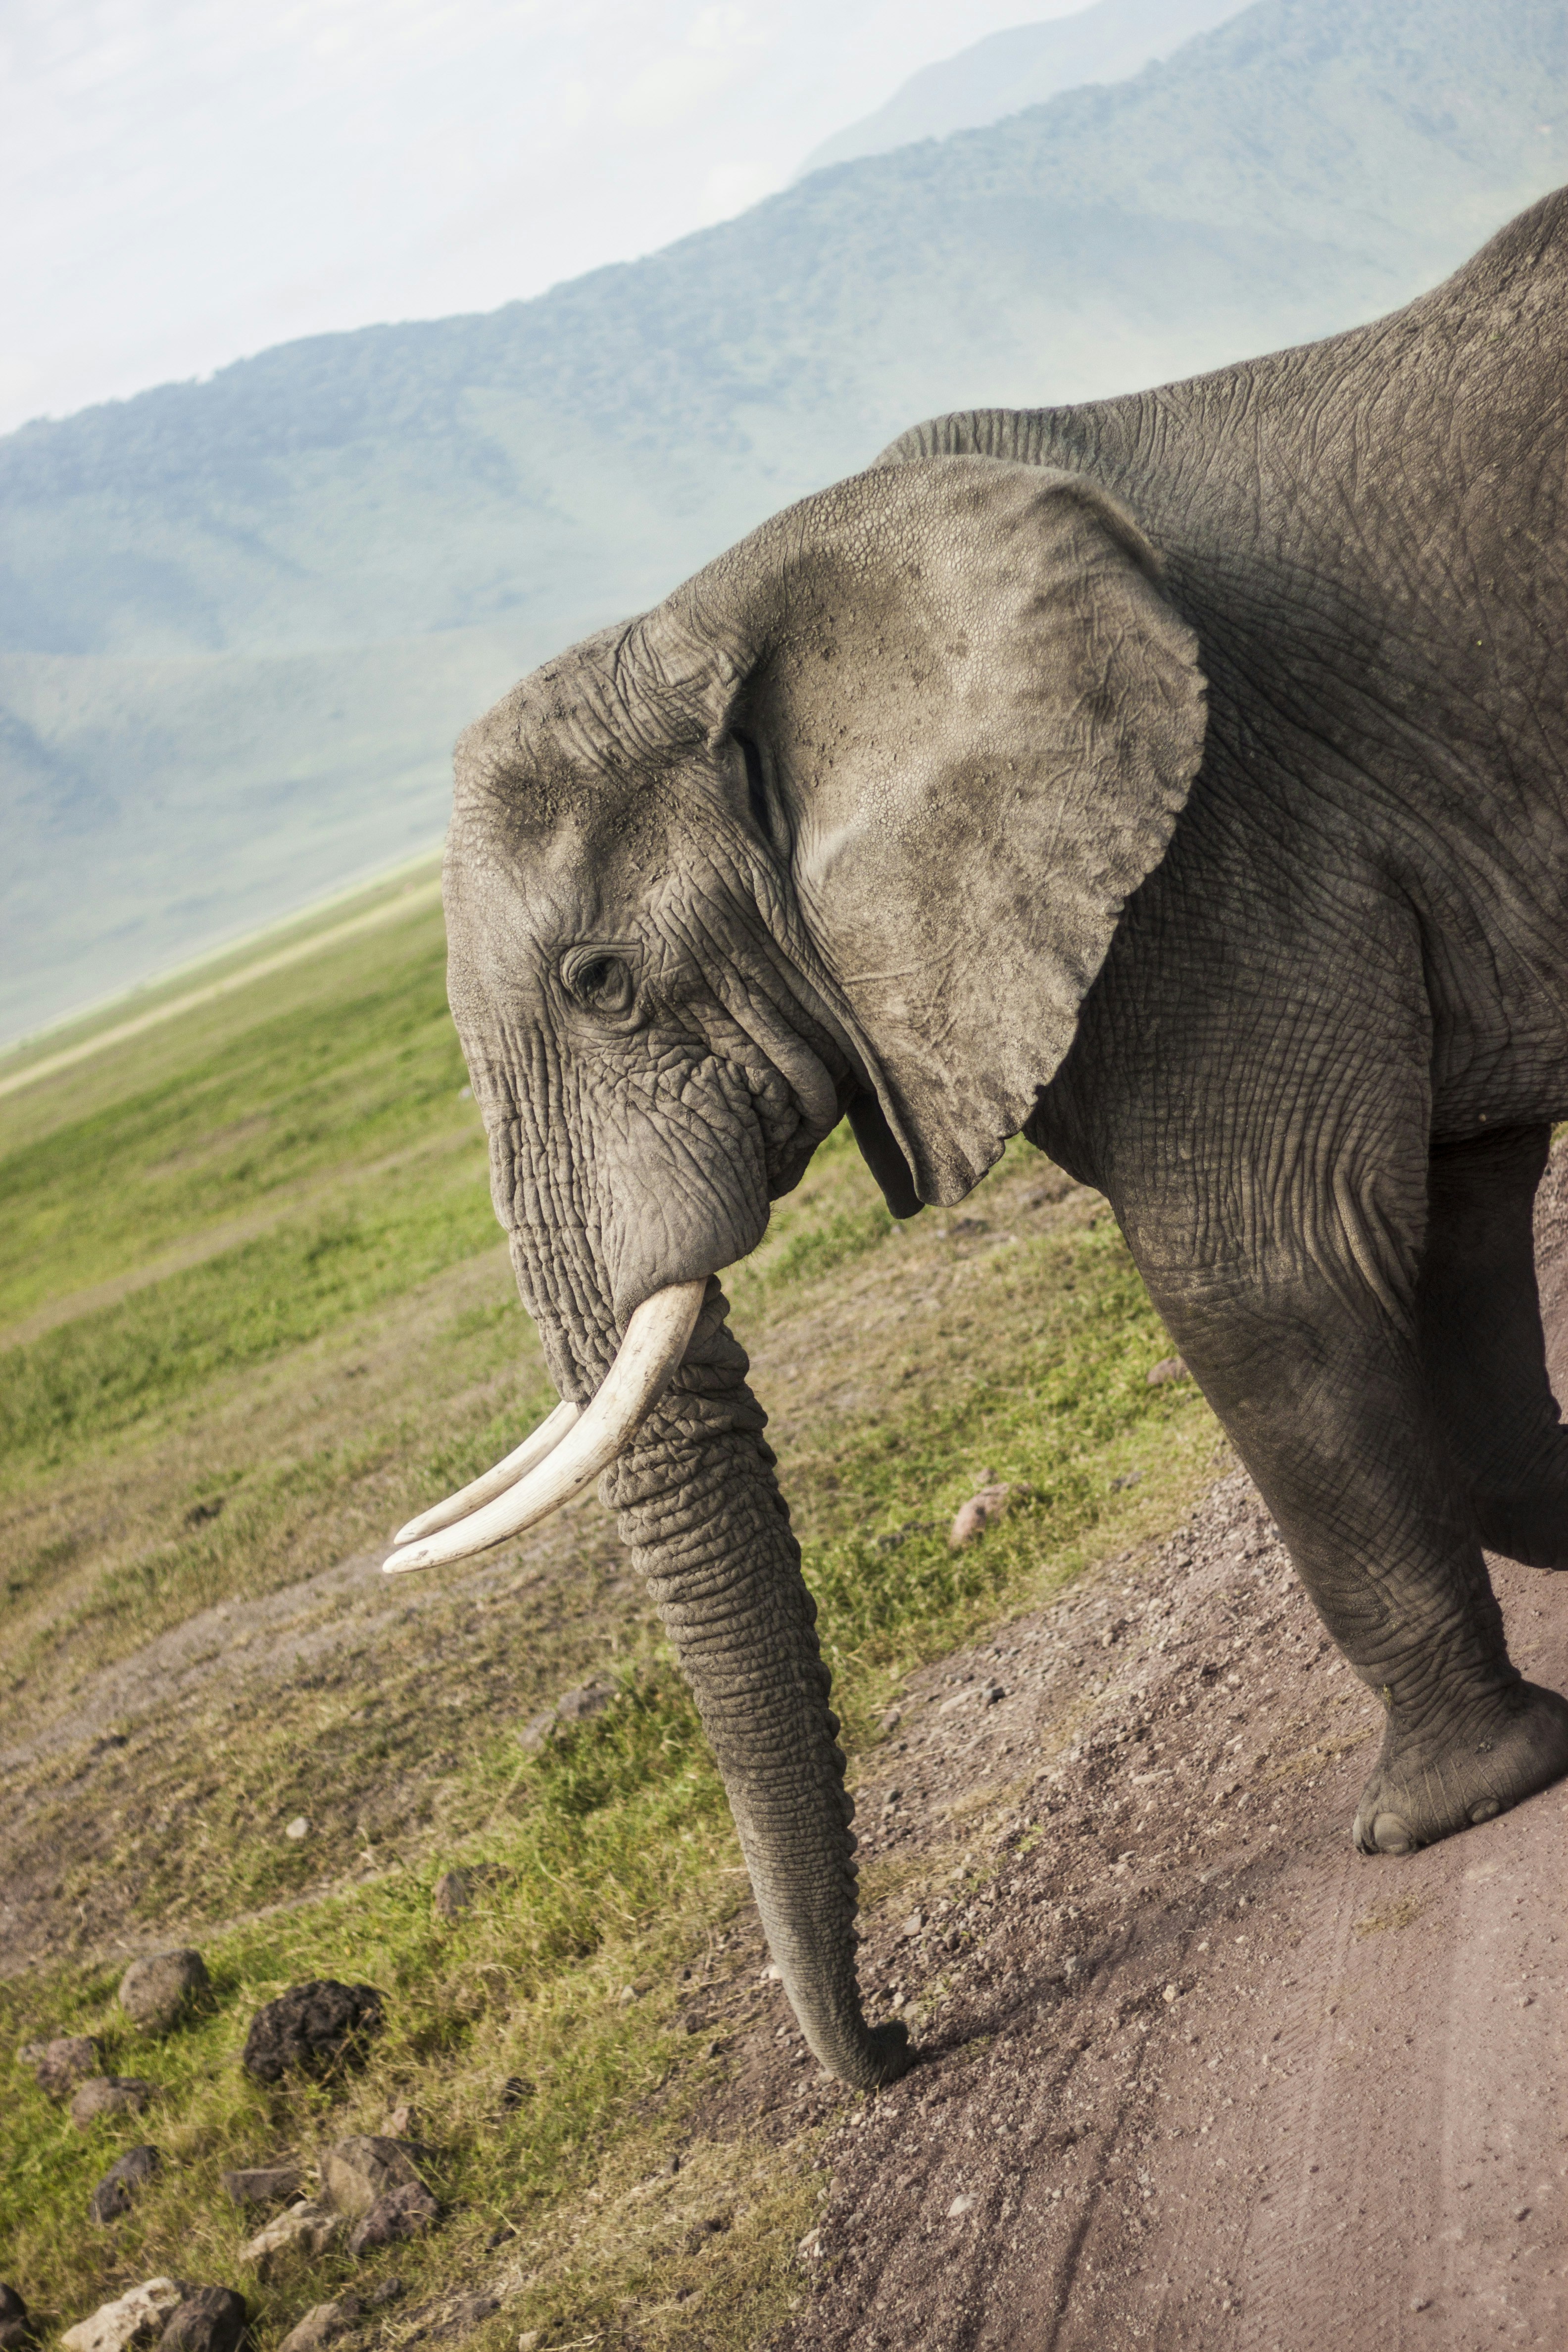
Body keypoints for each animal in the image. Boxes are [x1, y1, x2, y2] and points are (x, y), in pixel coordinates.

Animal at [384, 187, 1568, 2091]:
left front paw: (1442, 1814)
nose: (905, 2045)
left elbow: (1266, 1276)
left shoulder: (1213, 838)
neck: (731, 605)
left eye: (602, 983)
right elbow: (1447, 1246)